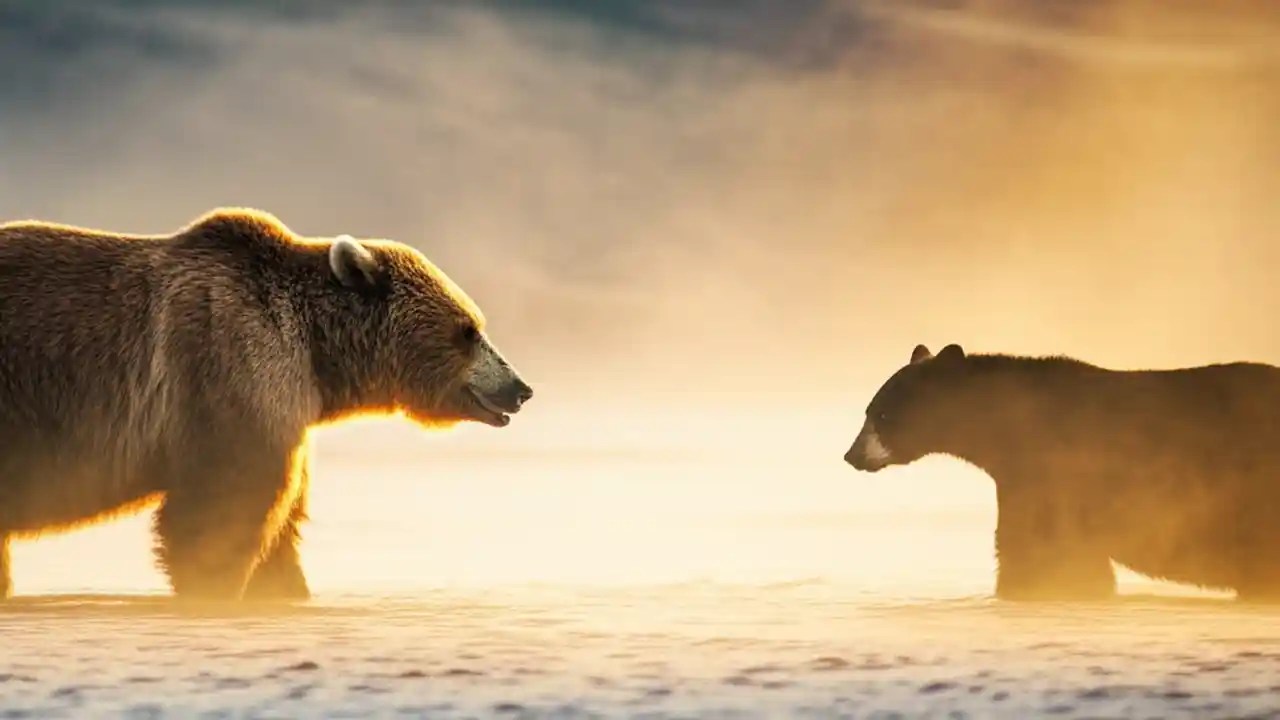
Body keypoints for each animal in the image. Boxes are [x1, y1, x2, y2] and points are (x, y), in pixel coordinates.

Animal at [0, 208, 532, 601]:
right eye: (468, 330)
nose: (520, 387)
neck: (319, 354)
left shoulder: (289, 416)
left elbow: (281, 523)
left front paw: (285, 589)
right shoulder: (231, 367)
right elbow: (221, 506)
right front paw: (213, 587)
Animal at [844, 343, 1280, 602]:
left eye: (883, 414)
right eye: (869, 410)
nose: (852, 455)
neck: (1003, 432)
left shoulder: (1050, 479)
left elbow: (1036, 551)